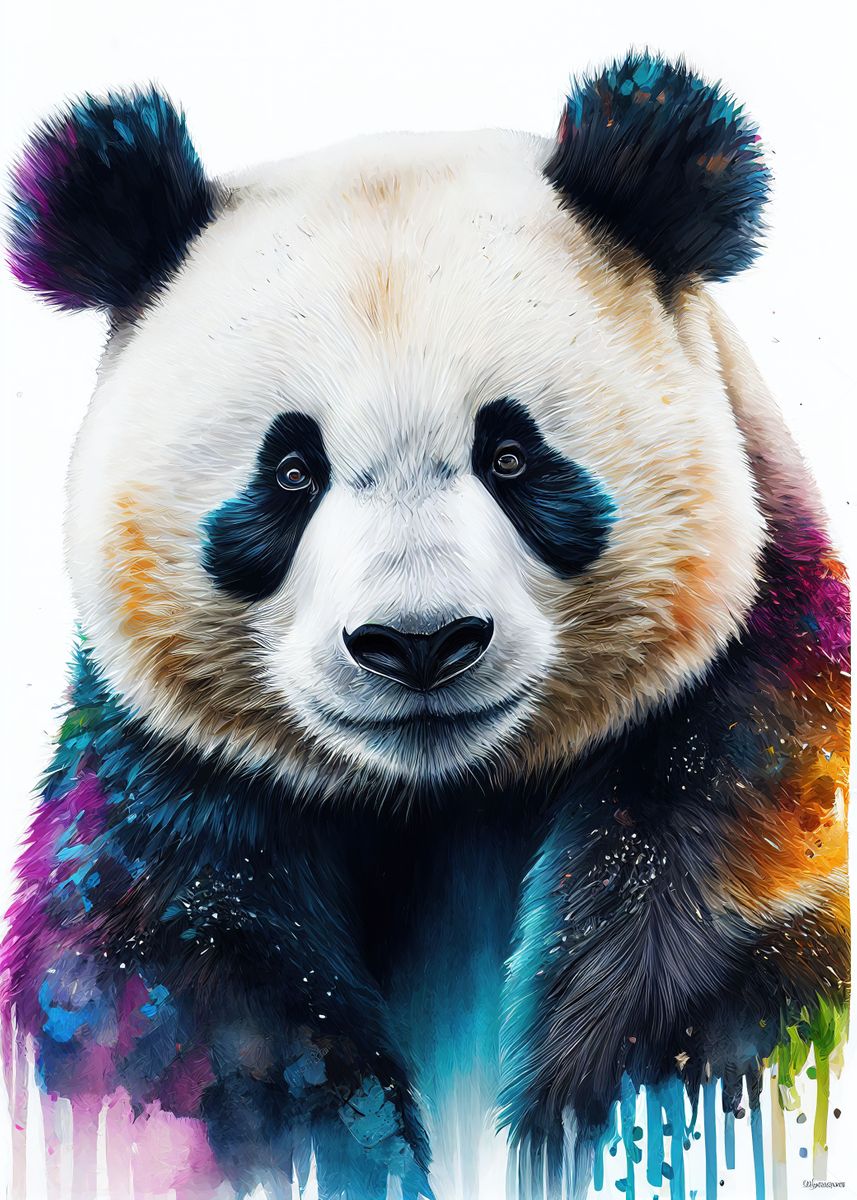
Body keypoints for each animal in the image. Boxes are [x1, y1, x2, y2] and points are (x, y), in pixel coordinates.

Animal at [1, 51, 849, 1200]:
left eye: (512, 456)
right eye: (290, 471)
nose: (418, 644)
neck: (442, 802)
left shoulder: (758, 727)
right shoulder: (162, 806)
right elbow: (176, 1016)